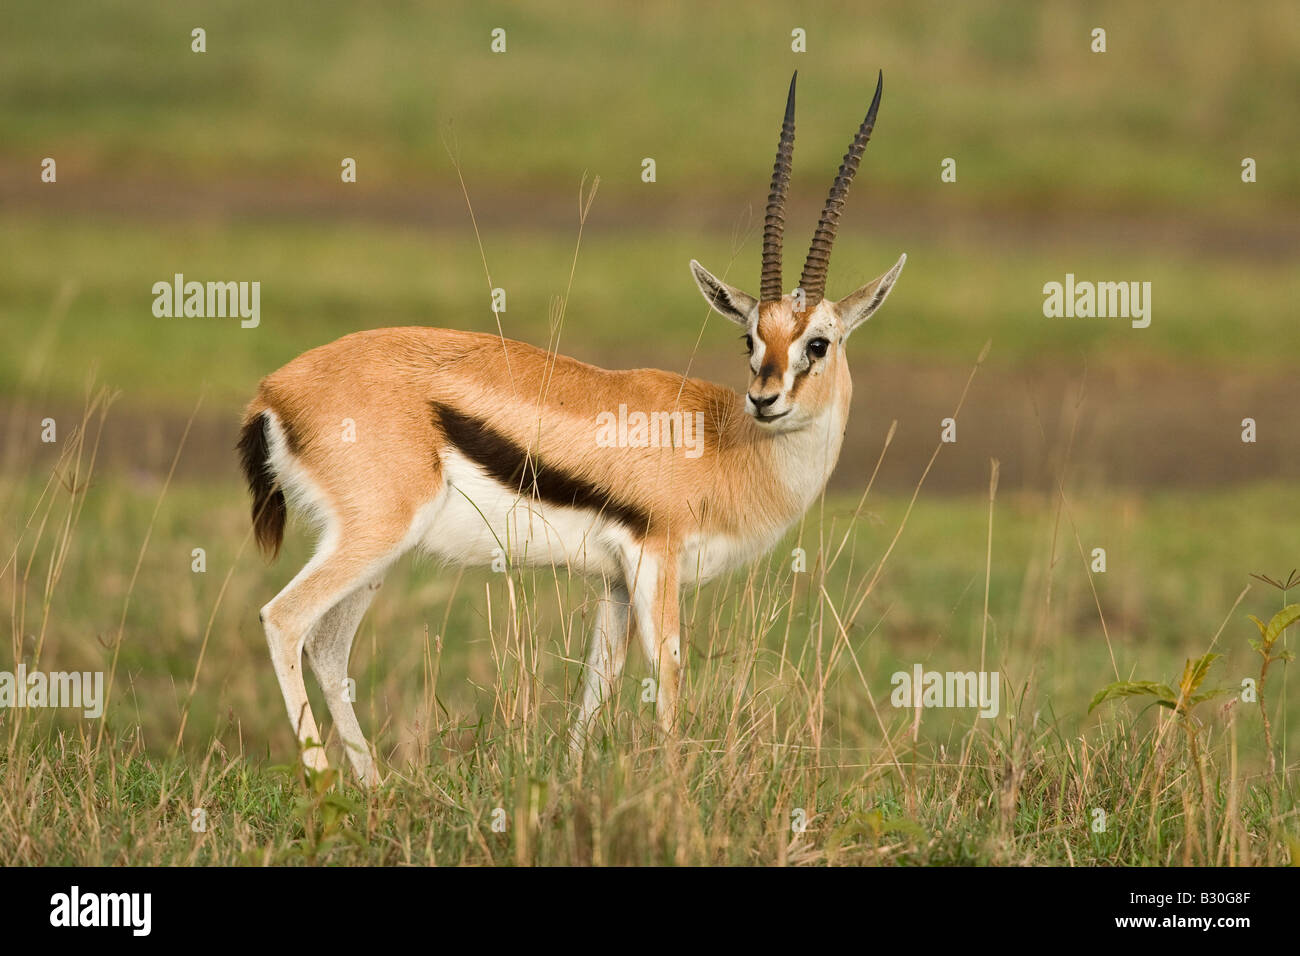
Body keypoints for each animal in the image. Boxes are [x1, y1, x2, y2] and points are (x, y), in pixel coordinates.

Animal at [238, 71, 905, 785]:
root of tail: (273, 391)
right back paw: (325, 784)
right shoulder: (656, 560)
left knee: (329, 645)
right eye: (750, 338)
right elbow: (668, 677)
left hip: (378, 551)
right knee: (284, 620)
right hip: (375, 536)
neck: (725, 444)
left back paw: (374, 789)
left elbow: (597, 684)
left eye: (818, 343)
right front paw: (672, 792)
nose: (766, 398)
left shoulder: (616, 581)